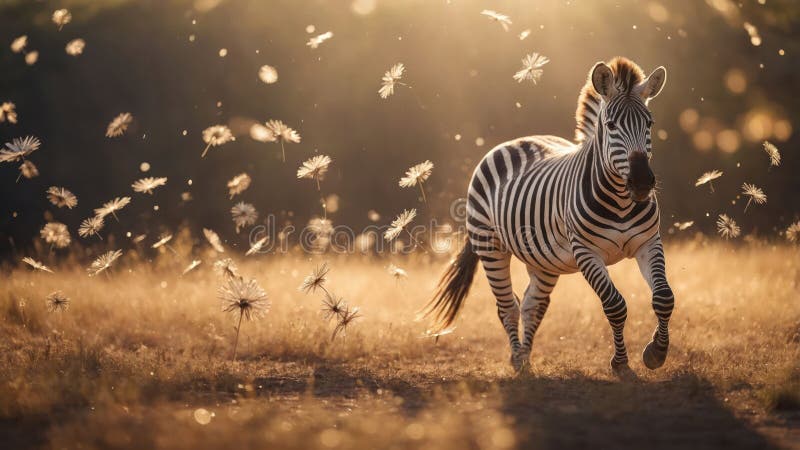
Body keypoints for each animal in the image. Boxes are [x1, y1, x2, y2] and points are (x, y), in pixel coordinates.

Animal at [424, 57, 673, 373]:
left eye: (649, 123)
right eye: (611, 125)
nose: (641, 182)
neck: (620, 201)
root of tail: (518, 140)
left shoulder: (648, 243)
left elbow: (664, 297)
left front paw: (656, 352)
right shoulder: (585, 251)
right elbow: (615, 305)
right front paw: (620, 363)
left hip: (543, 259)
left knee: (533, 305)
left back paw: (524, 356)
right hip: (490, 246)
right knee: (508, 305)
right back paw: (519, 360)